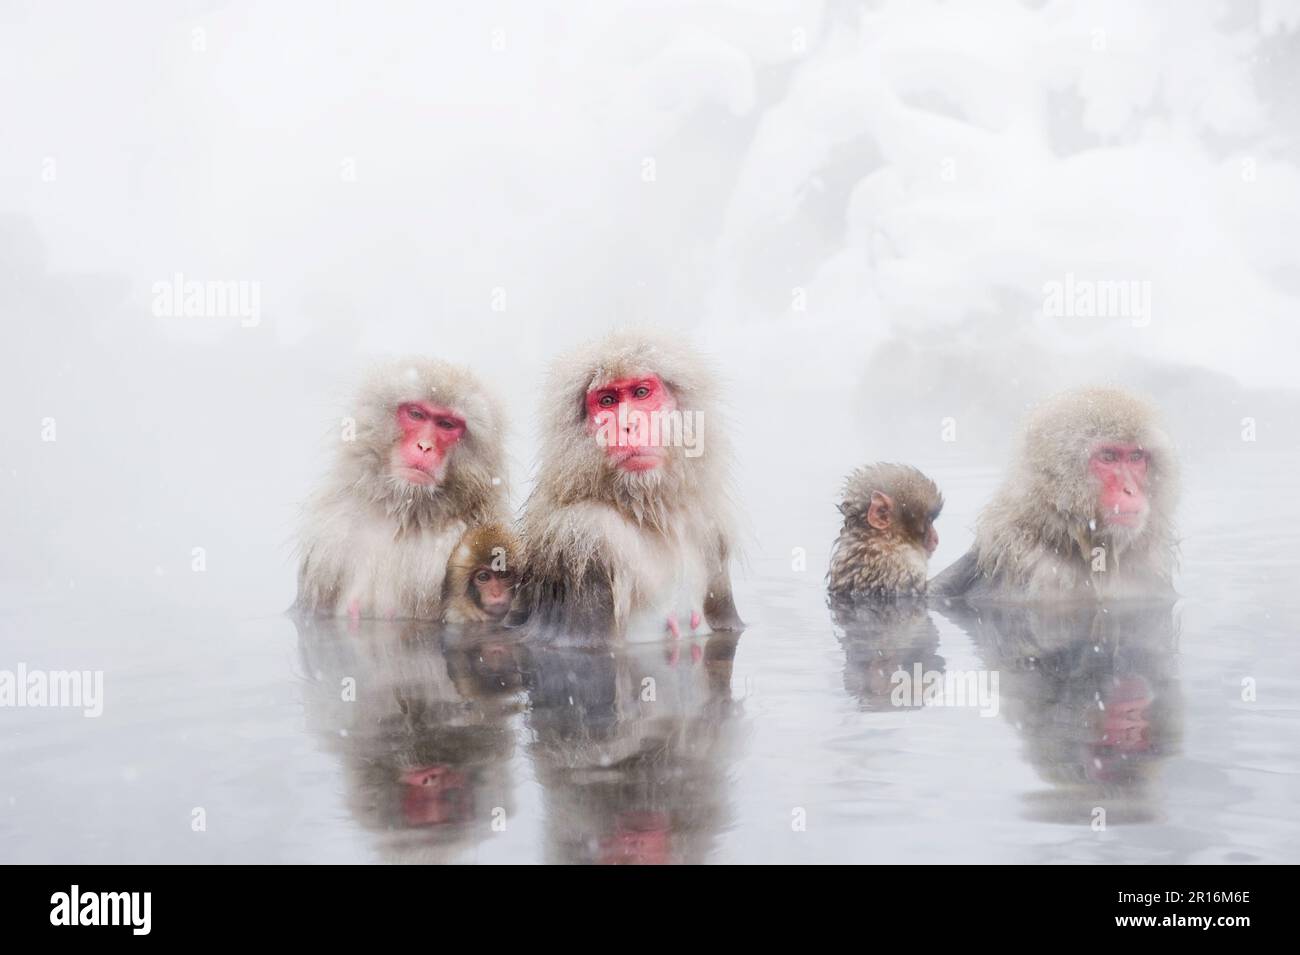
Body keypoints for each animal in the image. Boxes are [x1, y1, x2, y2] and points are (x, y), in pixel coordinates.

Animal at [508, 330, 743, 641]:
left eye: (640, 393)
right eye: (607, 401)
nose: (629, 425)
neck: (650, 517)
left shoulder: (713, 528)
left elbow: (730, 627)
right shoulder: (584, 538)